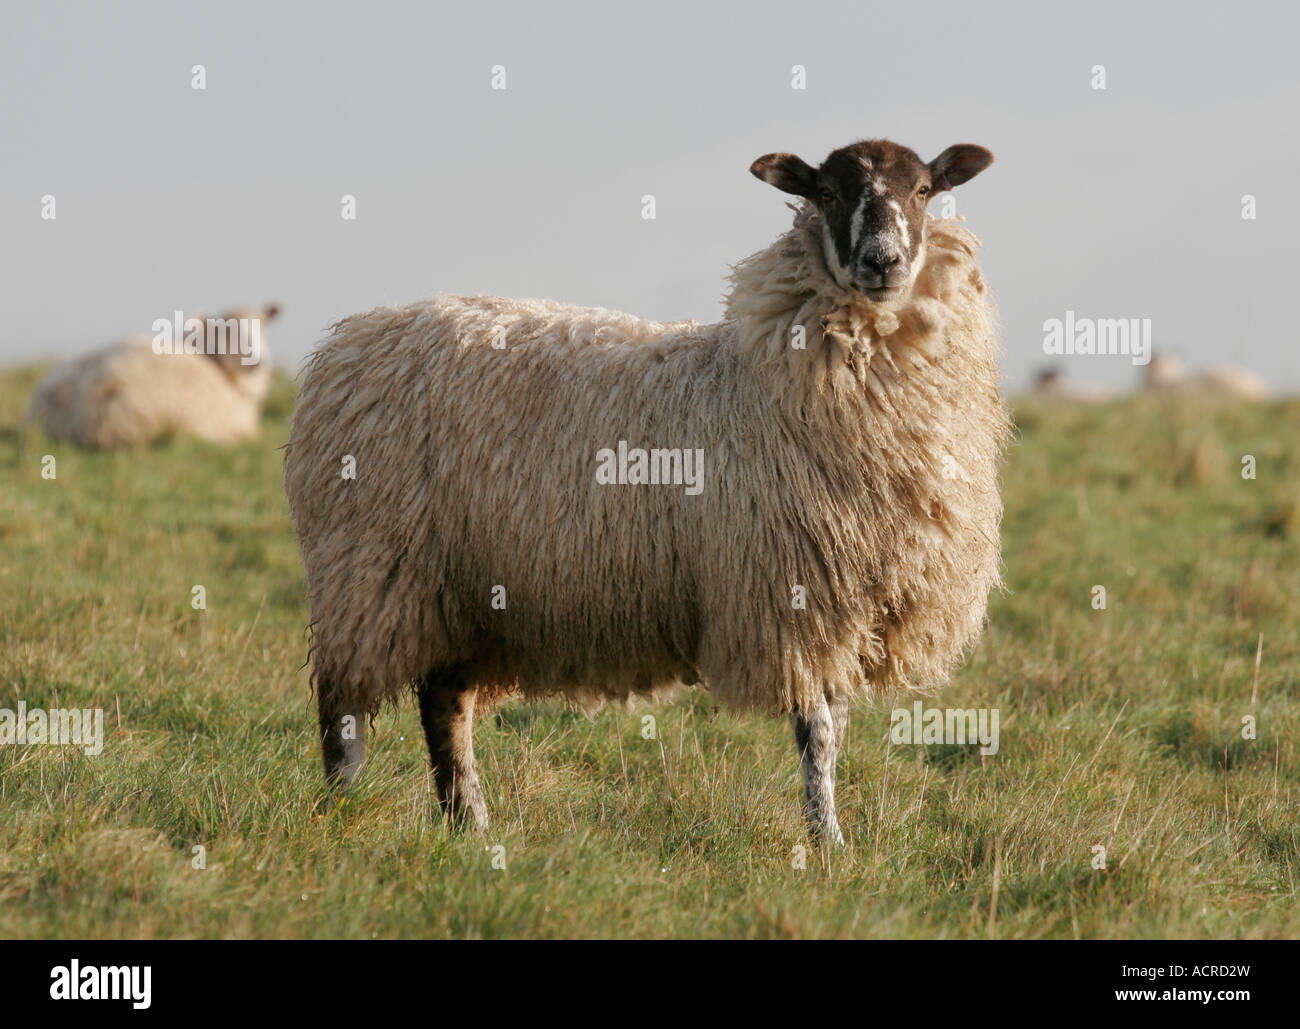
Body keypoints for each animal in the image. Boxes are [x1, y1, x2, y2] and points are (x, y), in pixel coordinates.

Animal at [284, 139, 1009, 844]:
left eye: (924, 190)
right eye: (827, 193)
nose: (881, 261)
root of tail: (345, 342)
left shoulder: (847, 600)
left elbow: (833, 727)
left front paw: (828, 833)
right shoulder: (793, 593)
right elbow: (819, 734)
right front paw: (827, 841)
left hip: (460, 594)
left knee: (444, 703)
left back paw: (470, 825)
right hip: (370, 571)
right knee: (343, 703)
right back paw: (345, 808)